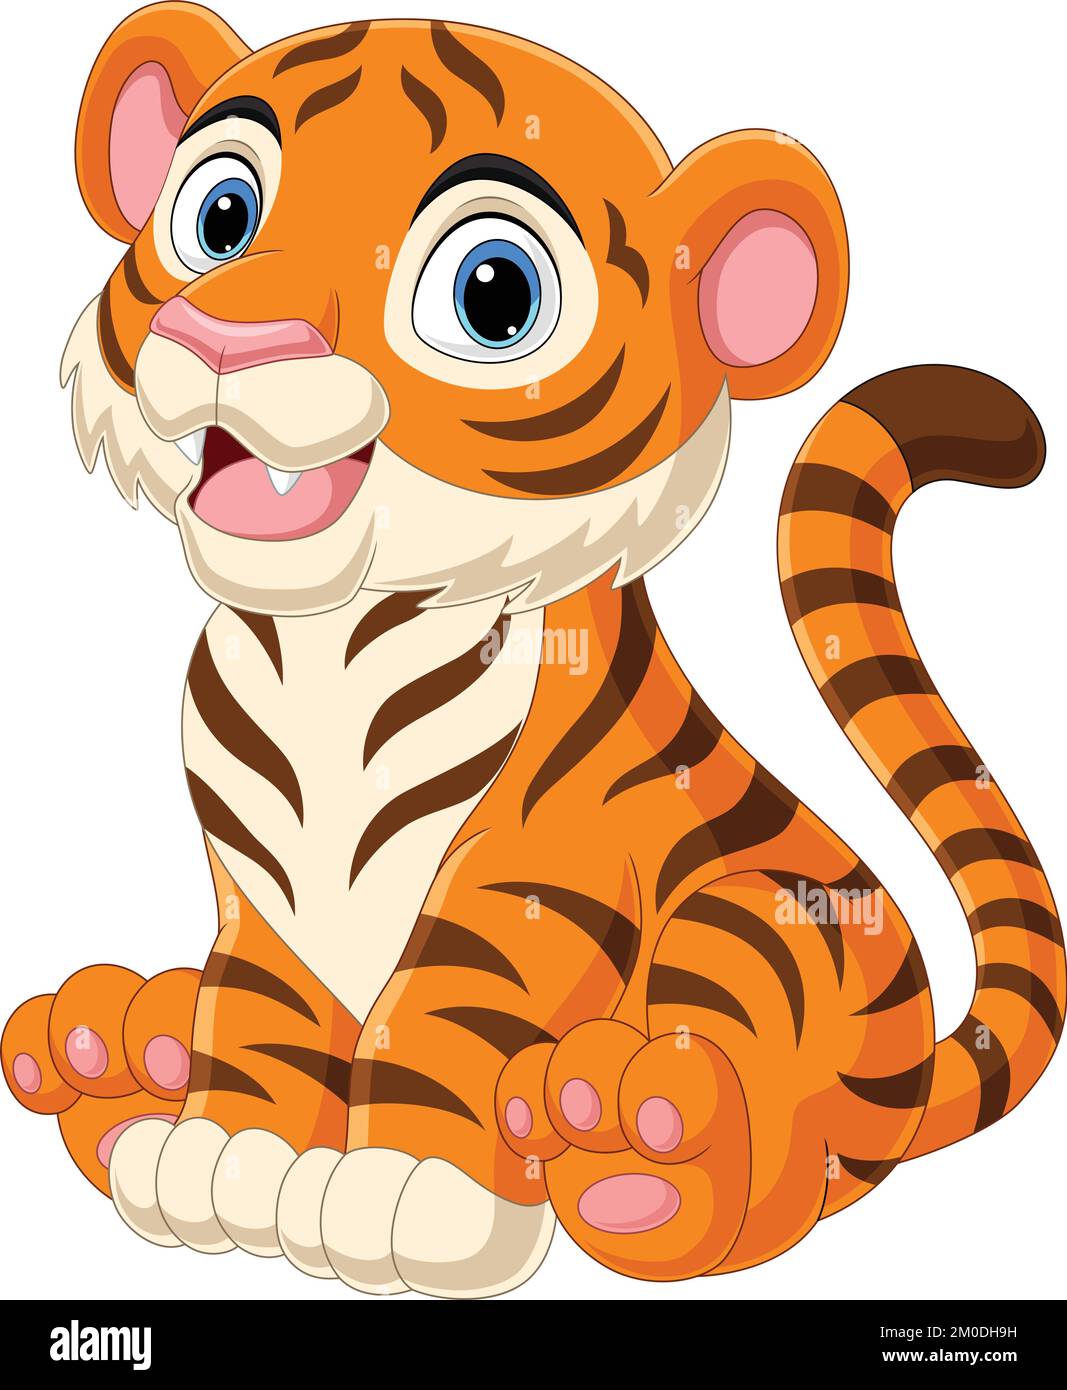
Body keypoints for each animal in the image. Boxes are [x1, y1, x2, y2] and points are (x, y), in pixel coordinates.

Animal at [2, 5, 1062, 1299]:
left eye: (492, 295)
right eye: (220, 217)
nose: (224, 336)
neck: (324, 640)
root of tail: (913, 1067)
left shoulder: (535, 871)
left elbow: (438, 1005)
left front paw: (401, 1191)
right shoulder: (254, 887)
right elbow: (255, 1013)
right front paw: (227, 1154)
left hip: (758, 918)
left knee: (764, 1177)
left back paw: (631, 1148)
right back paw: (112, 1057)